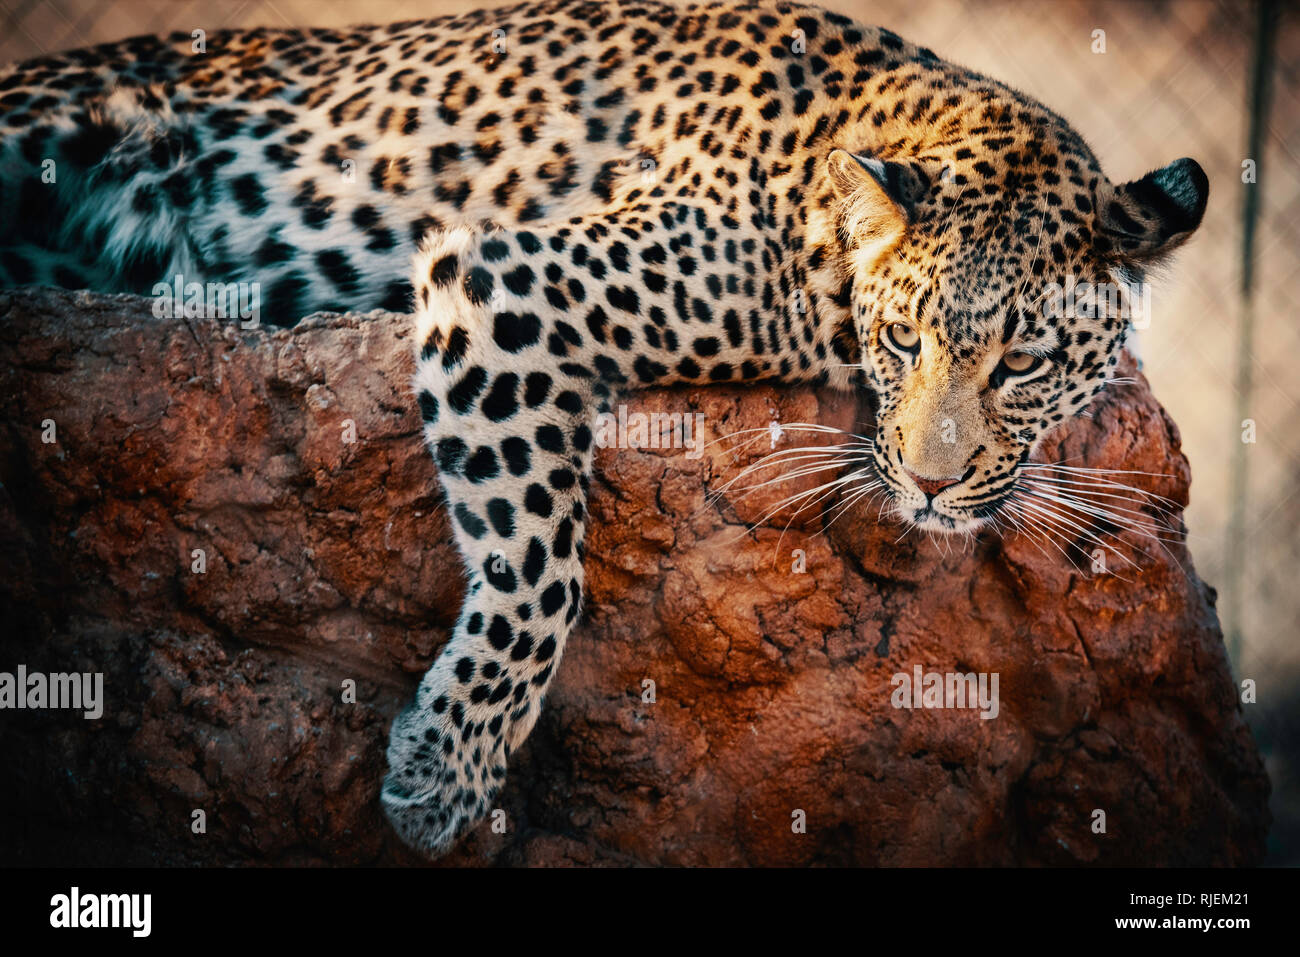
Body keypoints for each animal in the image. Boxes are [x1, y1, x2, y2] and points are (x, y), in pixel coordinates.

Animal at [0, 0, 1207, 858]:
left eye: (1022, 364)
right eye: (904, 339)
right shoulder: (506, 276)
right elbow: (541, 567)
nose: (928, 484)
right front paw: (446, 771)